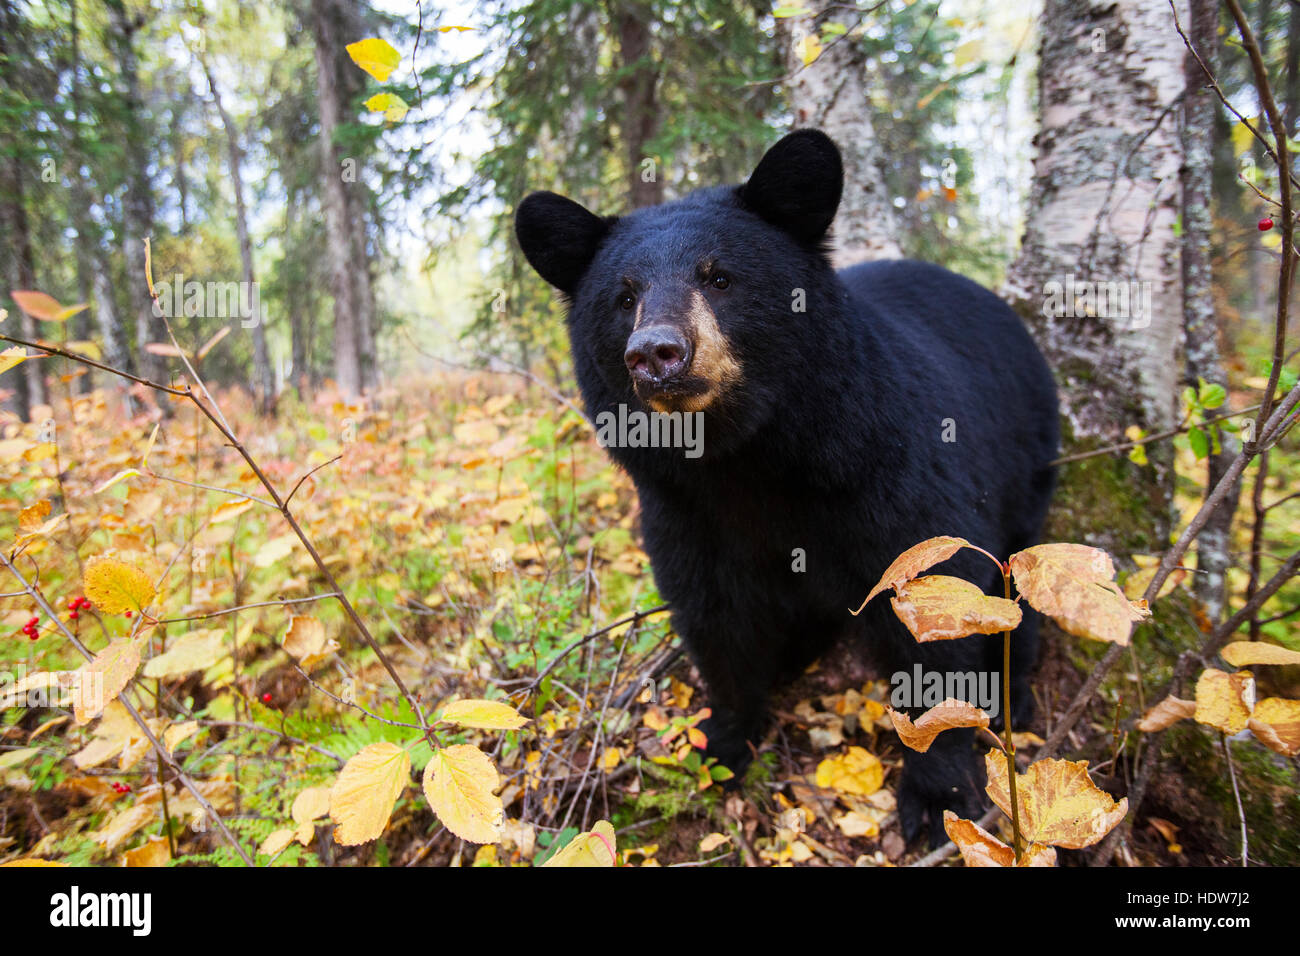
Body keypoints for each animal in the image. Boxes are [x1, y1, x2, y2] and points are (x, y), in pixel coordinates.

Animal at [515, 129, 1059, 848]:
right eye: (624, 297)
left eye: (719, 277)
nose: (655, 353)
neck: (746, 459)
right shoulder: (683, 514)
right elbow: (716, 620)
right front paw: (721, 743)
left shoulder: (890, 475)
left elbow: (938, 603)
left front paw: (937, 794)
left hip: (1029, 457)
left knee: (1018, 573)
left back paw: (1015, 685)